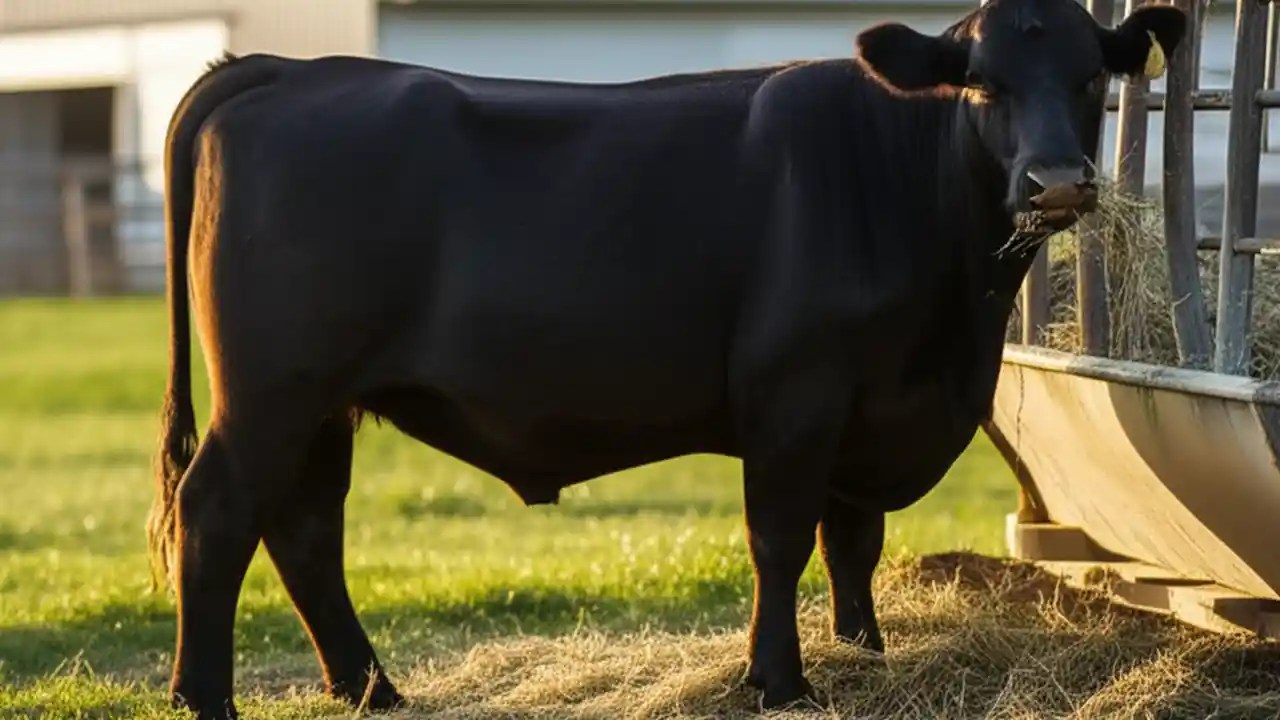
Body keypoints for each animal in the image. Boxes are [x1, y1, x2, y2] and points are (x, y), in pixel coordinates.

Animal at [148, 0, 1185, 716]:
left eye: (1091, 78)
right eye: (981, 83)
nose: (1056, 184)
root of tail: (280, 69)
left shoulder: (869, 411)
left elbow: (853, 544)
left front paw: (866, 656)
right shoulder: (796, 396)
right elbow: (780, 539)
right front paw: (780, 680)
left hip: (324, 403)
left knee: (305, 529)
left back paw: (371, 689)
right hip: (271, 394)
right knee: (219, 513)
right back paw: (204, 696)